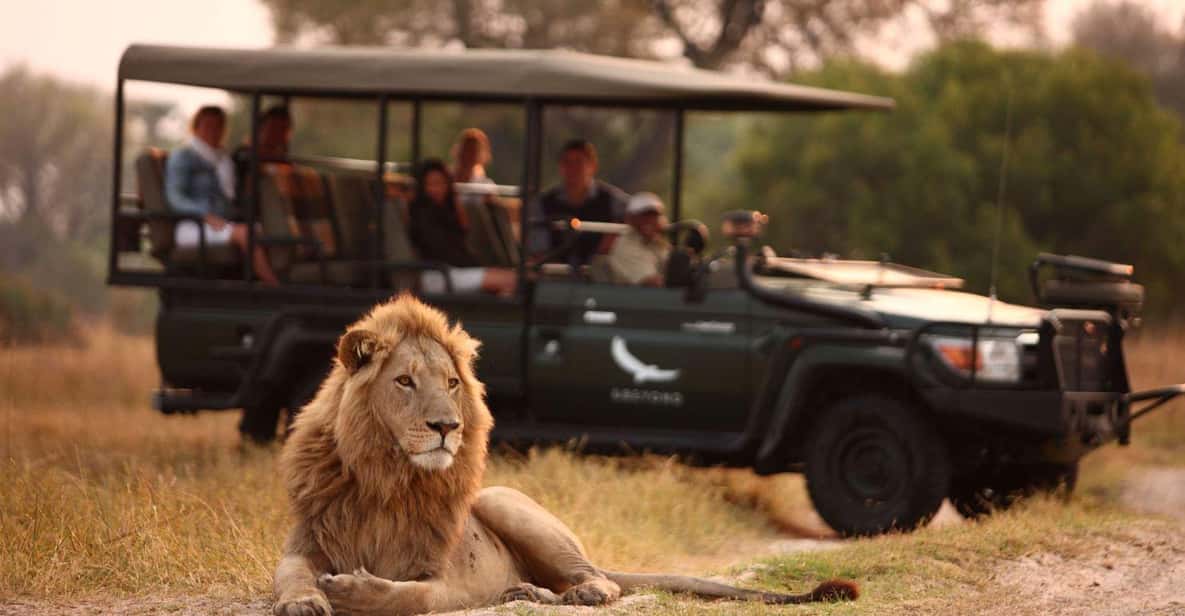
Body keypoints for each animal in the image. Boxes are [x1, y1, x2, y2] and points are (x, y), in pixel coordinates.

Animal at [273, 294, 858, 616]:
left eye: (451, 384)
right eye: (404, 382)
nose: (447, 427)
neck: (387, 477)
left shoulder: (451, 581)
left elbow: (409, 596)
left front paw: (354, 593)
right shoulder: (307, 541)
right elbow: (291, 573)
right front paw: (302, 598)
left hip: (507, 502)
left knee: (601, 578)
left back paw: (574, 595)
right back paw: (526, 593)